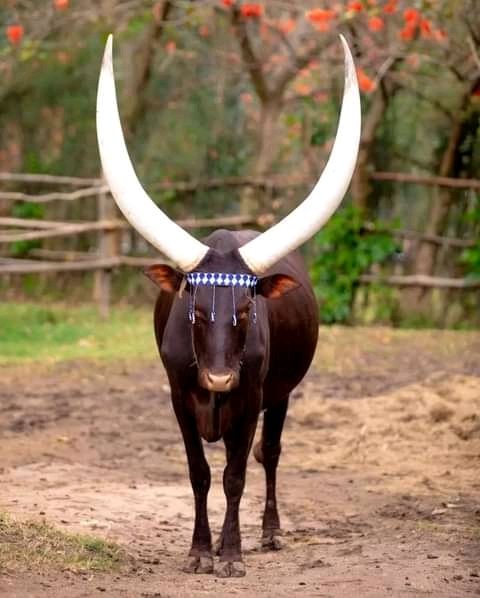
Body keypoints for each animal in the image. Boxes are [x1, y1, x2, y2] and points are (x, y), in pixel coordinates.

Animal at [96, 34, 360, 577]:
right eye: (195, 311)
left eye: (244, 311)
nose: (219, 379)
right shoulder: (178, 397)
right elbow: (199, 474)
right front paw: (201, 551)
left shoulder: (250, 399)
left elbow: (236, 475)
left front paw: (232, 554)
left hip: (280, 394)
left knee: (270, 453)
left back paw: (270, 532)